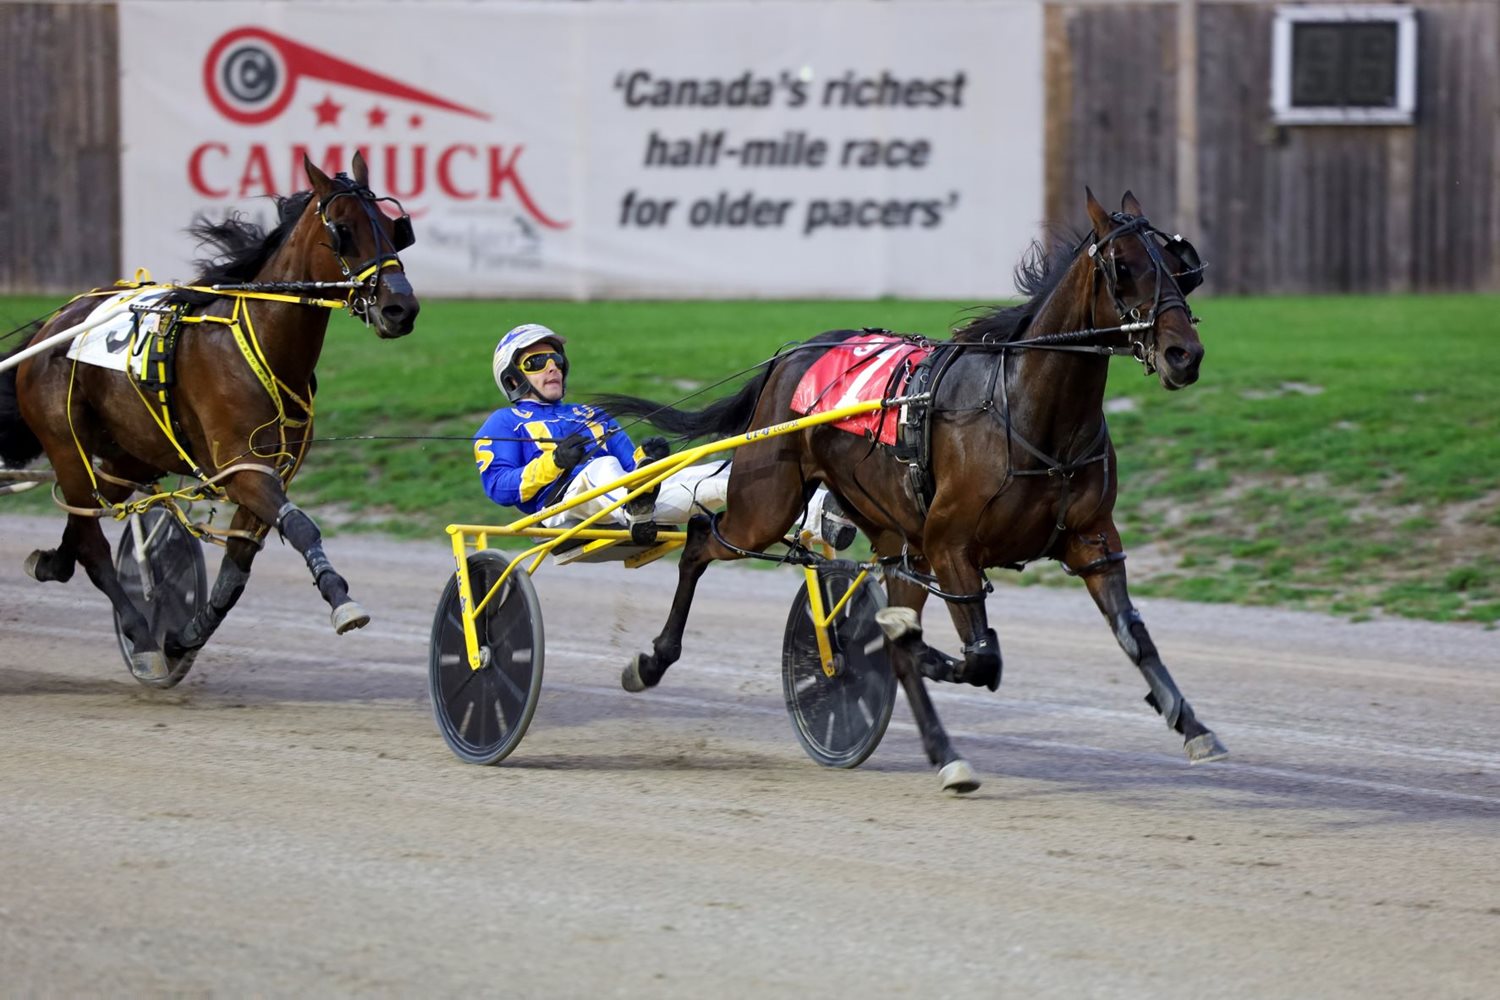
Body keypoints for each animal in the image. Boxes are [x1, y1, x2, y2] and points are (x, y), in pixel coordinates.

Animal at [0, 152, 419, 684]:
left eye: (392, 228)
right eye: (343, 229)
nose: (401, 308)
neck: (261, 341)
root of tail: (52, 327)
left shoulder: (270, 471)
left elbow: (236, 571)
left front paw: (183, 637)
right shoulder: (242, 469)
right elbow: (302, 527)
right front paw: (342, 600)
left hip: (127, 456)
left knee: (83, 520)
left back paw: (55, 564)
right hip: (66, 446)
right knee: (93, 544)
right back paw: (140, 636)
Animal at [597, 189, 1228, 793]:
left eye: (1180, 266)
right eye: (1122, 266)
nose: (1185, 355)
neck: (1026, 412)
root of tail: (791, 354)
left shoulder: (1092, 542)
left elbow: (1134, 636)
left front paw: (1193, 725)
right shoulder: (952, 549)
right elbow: (981, 660)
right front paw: (910, 643)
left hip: (895, 538)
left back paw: (946, 754)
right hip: (767, 507)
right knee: (700, 540)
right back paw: (652, 660)